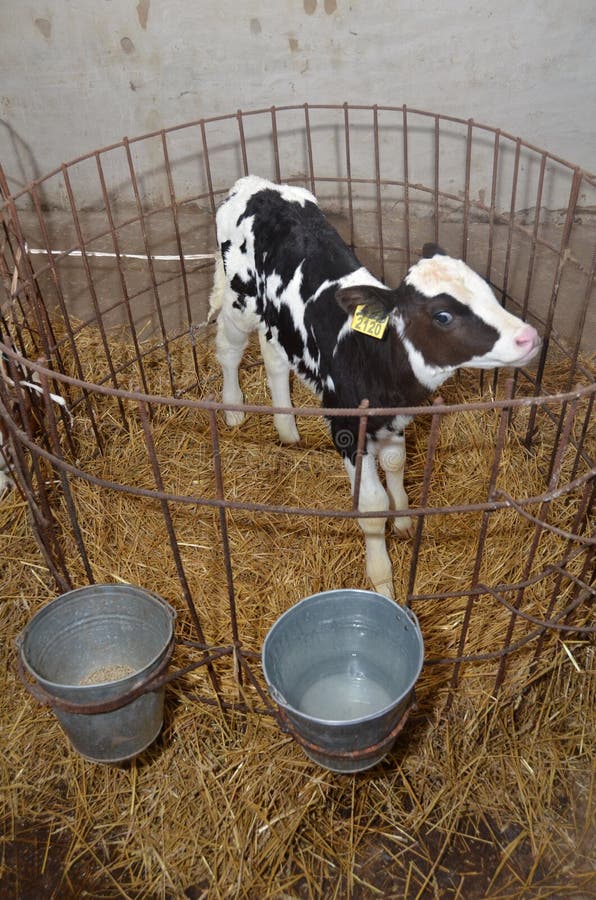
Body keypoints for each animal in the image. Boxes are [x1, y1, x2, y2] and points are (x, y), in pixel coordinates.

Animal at [208, 175, 540, 598]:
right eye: (443, 316)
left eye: (488, 292)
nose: (528, 337)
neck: (373, 355)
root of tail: (254, 184)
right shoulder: (347, 429)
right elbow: (370, 505)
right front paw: (383, 582)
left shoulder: (395, 418)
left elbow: (396, 462)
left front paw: (404, 519)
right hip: (239, 299)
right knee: (229, 347)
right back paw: (234, 409)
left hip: (278, 319)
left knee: (274, 356)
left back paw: (287, 428)